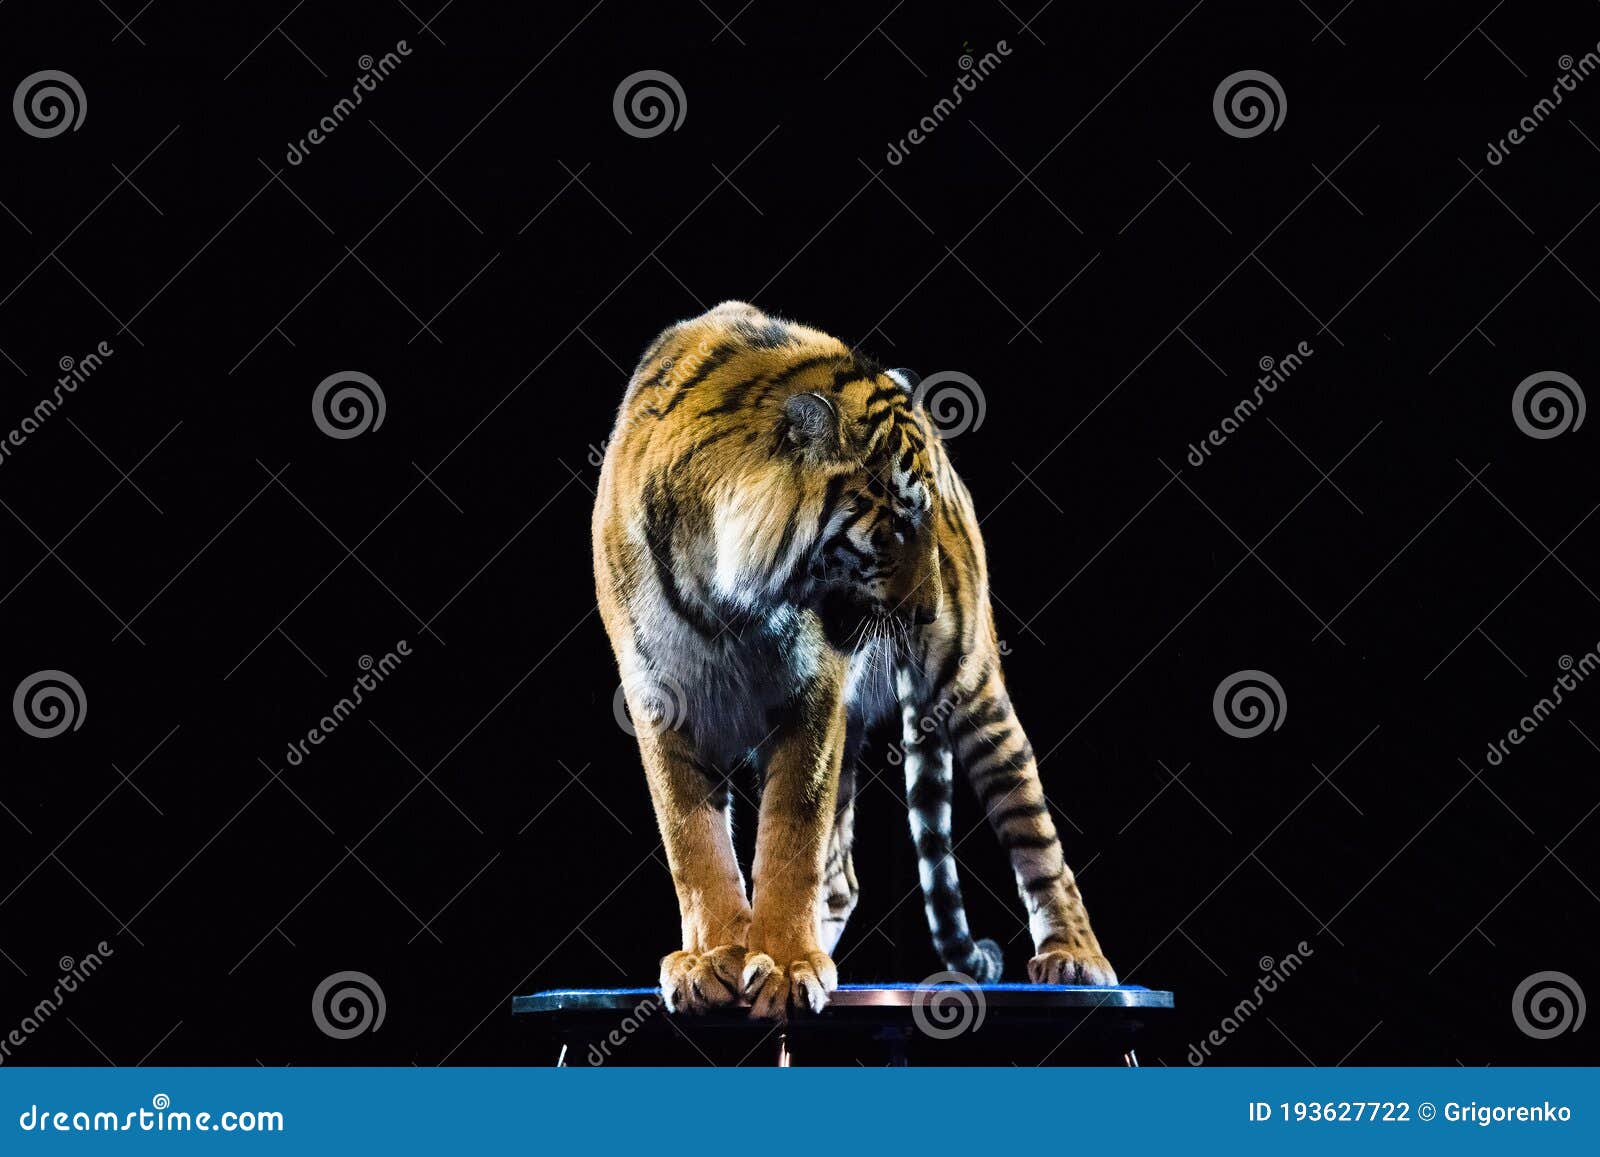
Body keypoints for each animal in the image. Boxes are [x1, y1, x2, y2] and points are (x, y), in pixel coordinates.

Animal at [592, 301, 1115, 1020]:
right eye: (895, 526)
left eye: (927, 519)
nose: (924, 611)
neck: (729, 594)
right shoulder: (659, 697)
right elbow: (693, 841)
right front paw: (714, 959)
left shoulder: (812, 697)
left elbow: (791, 834)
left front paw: (785, 963)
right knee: (839, 877)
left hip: (971, 685)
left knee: (1034, 831)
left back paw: (1076, 956)